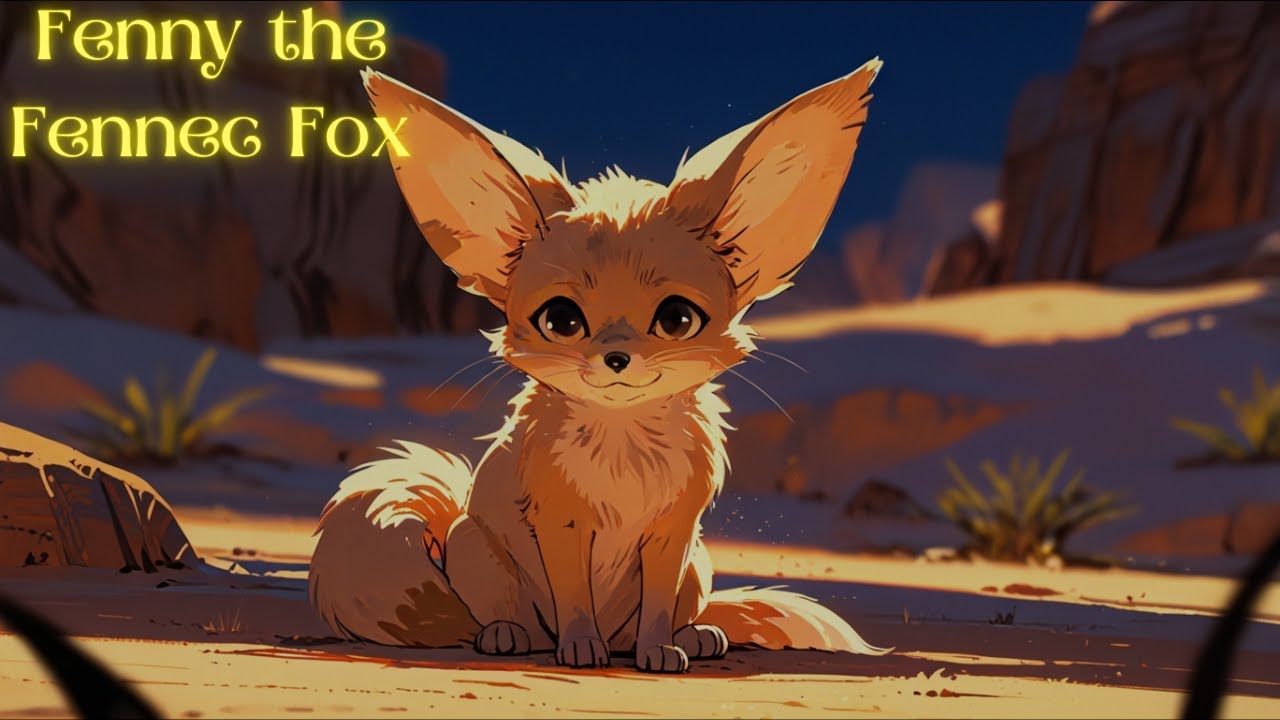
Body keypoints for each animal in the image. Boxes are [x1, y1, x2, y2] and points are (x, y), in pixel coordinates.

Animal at [309, 58, 888, 673]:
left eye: (677, 319)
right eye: (561, 320)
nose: (616, 356)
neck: (622, 439)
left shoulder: (671, 534)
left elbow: (656, 603)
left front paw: (659, 650)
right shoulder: (560, 523)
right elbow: (573, 595)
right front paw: (580, 646)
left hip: (699, 563)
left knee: (658, 616)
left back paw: (687, 638)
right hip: (471, 544)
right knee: (511, 615)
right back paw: (514, 635)